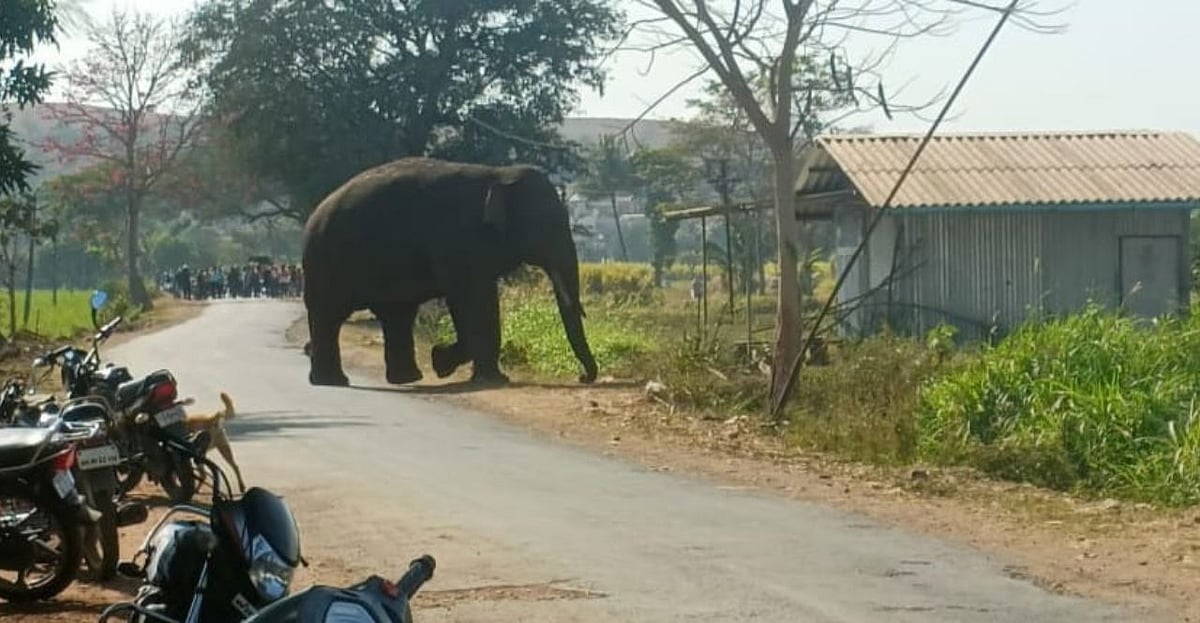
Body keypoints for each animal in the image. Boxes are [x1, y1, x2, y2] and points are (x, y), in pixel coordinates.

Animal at [301, 156, 599, 388]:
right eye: (550, 225)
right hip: (324, 260)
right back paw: (333, 381)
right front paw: (463, 369)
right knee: (328, 315)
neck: (498, 173)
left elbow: (477, 299)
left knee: (397, 315)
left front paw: (442, 362)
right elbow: (471, 299)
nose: (582, 377)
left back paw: (405, 378)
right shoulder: (457, 239)